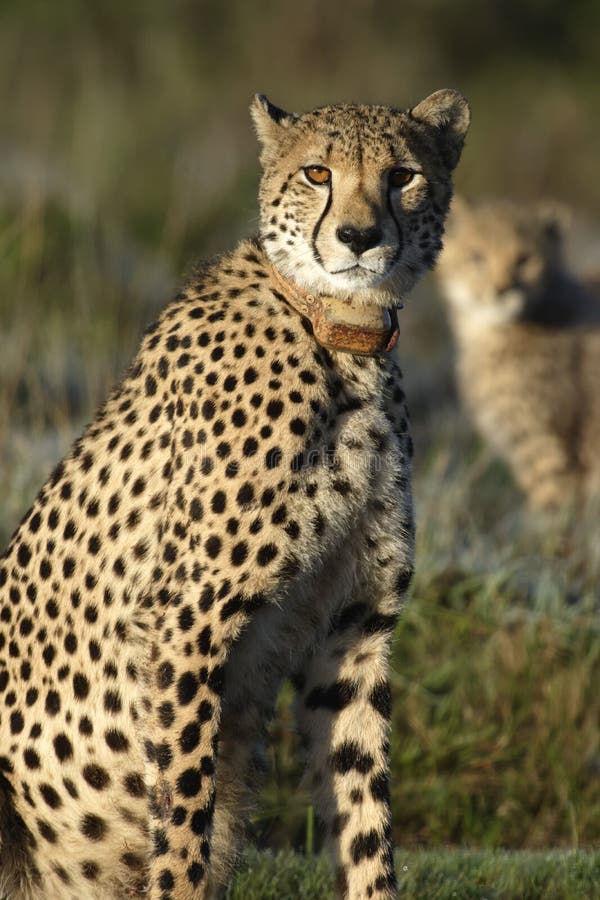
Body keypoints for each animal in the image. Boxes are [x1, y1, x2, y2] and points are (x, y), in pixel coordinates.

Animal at [0, 88, 469, 900]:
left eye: (402, 176)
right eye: (317, 172)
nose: (358, 236)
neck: (336, 334)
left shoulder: (354, 624)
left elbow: (364, 811)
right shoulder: (184, 619)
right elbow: (184, 811)